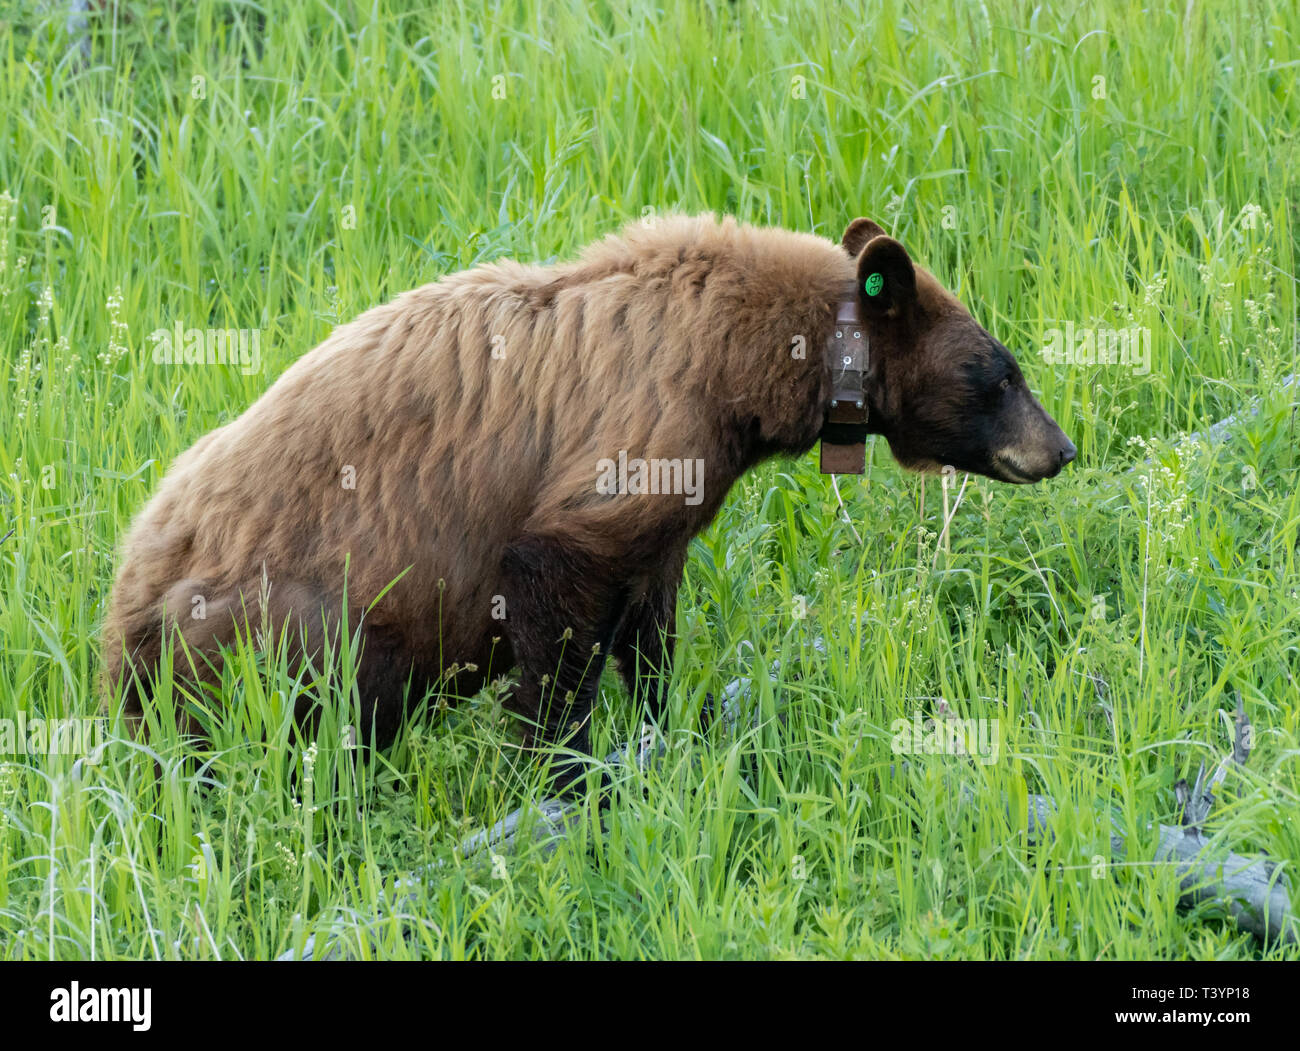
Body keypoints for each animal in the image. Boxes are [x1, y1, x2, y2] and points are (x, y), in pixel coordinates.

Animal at [101, 214, 1075, 781]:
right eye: (1002, 373)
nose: (1060, 448)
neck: (740, 353)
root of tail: (118, 610)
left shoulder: (676, 506)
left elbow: (651, 616)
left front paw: (664, 726)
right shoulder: (639, 430)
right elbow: (557, 587)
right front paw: (557, 772)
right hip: (270, 614)